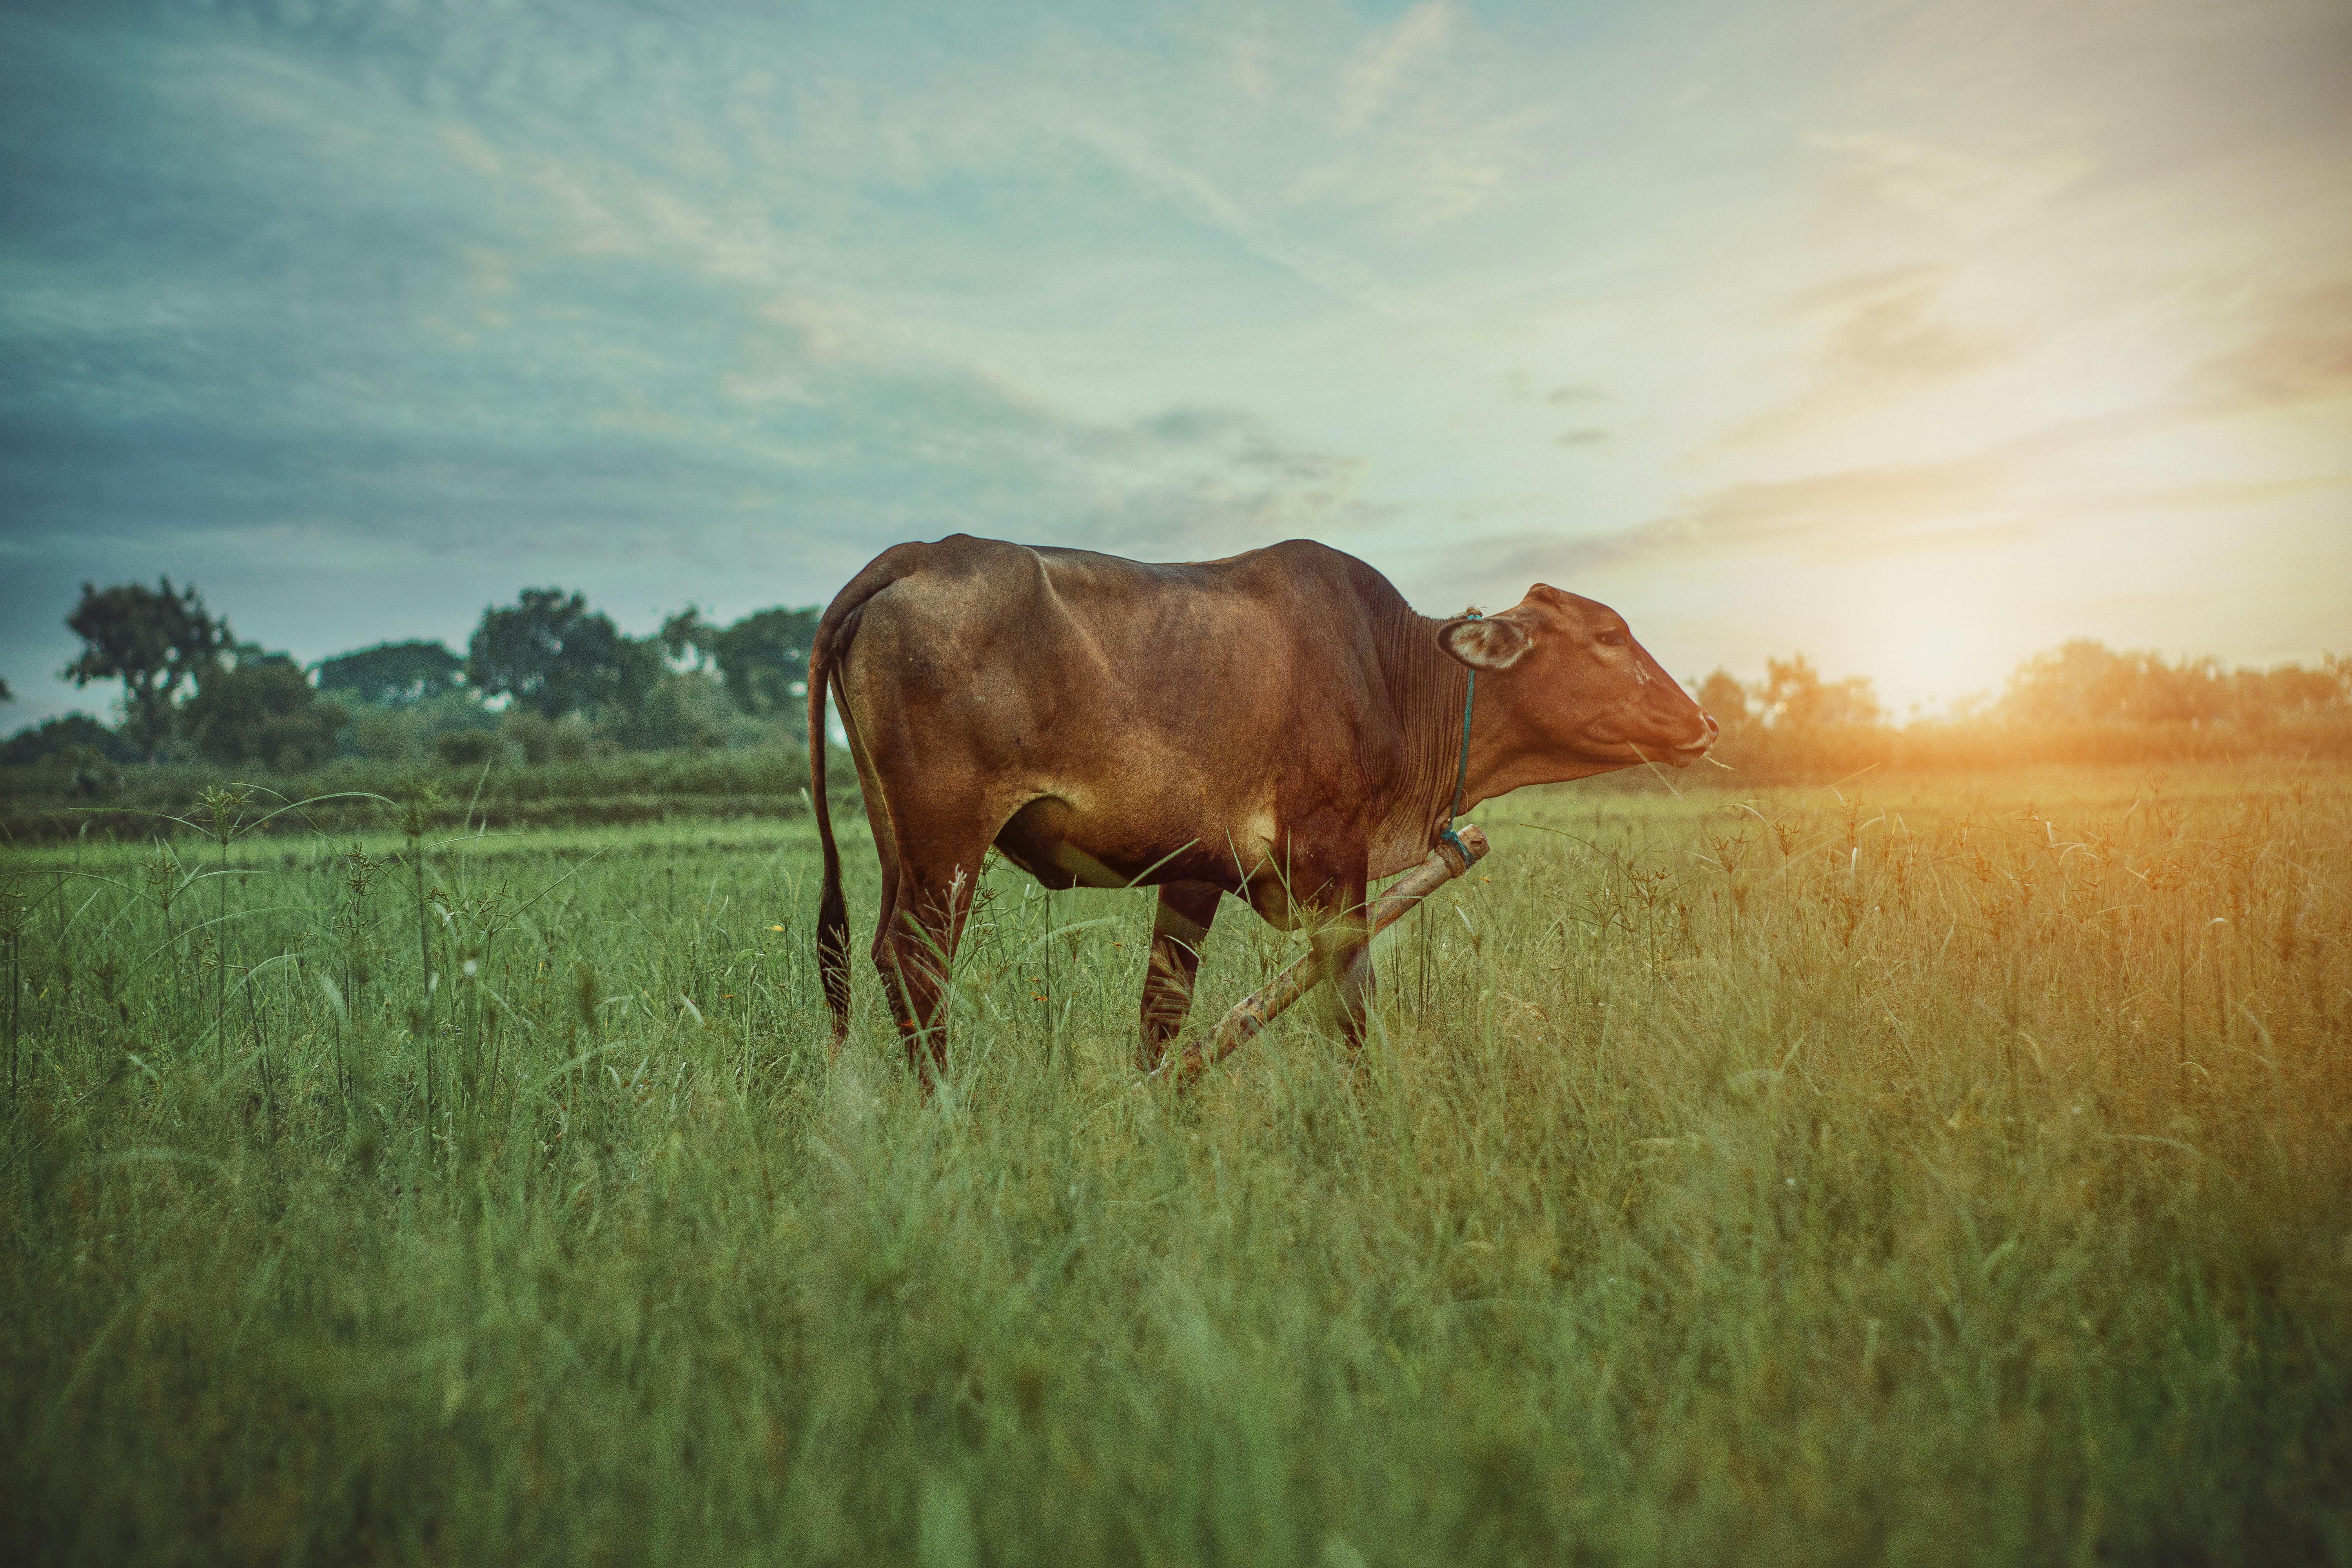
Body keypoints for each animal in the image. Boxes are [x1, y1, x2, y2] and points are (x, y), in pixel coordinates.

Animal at [806, 535, 1717, 1075]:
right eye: (1609, 635)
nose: (1705, 723)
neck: (1395, 673)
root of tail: (922, 551)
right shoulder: (1333, 863)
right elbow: (1351, 1009)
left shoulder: (1195, 872)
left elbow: (1163, 1012)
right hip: (948, 840)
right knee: (917, 963)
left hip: (899, 842)